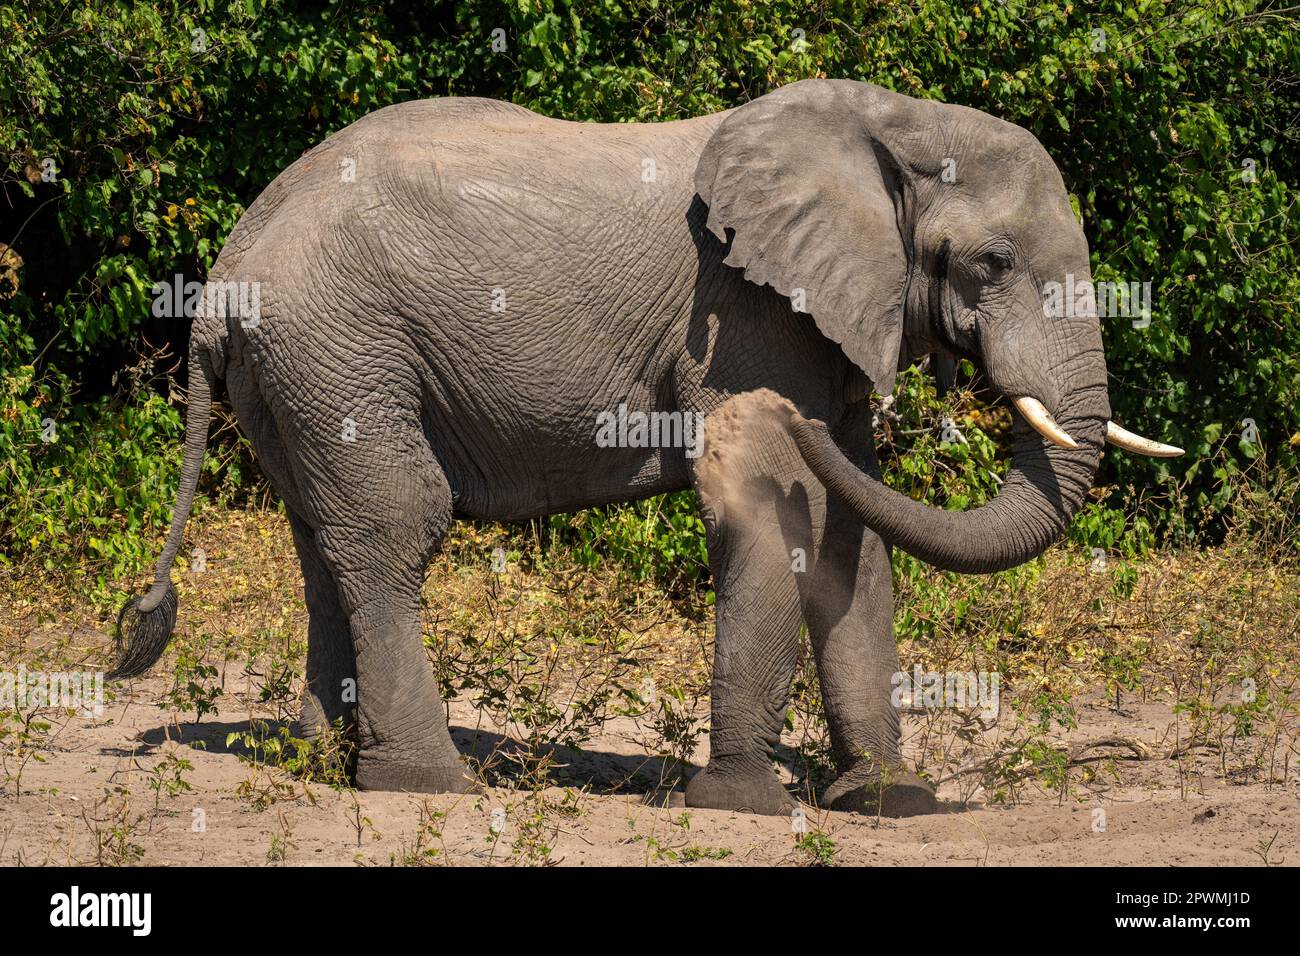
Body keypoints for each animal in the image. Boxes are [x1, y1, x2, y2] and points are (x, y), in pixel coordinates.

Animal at [110, 78, 1182, 816]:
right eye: (993, 264)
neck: (891, 122)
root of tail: (222, 274)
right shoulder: (747, 313)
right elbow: (776, 505)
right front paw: (747, 805)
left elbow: (852, 533)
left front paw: (890, 805)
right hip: (340, 343)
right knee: (392, 527)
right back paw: (429, 784)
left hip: (303, 373)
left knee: (322, 540)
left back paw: (326, 768)